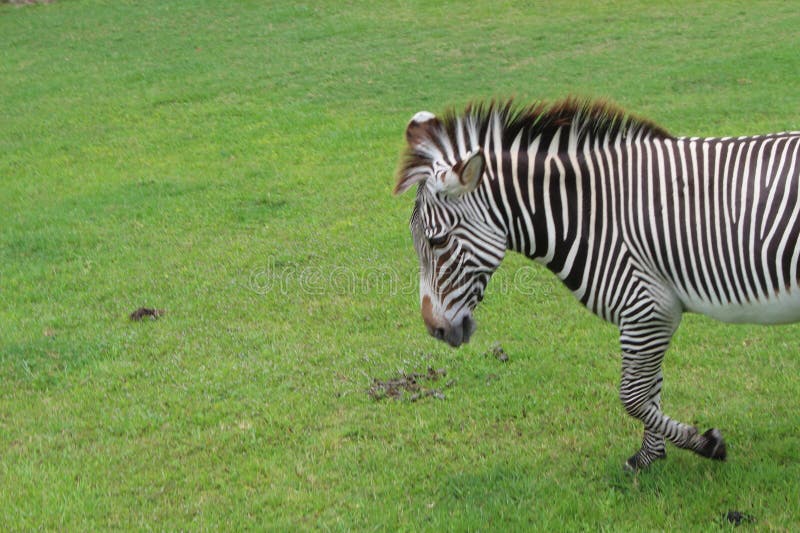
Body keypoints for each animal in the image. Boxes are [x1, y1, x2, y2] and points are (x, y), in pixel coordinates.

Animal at [394, 98, 800, 470]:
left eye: (437, 241)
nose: (434, 329)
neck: (593, 214)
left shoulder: (647, 309)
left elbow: (633, 396)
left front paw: (705, 443)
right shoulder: (652, 313)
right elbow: (650, 390)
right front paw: (650, 456)